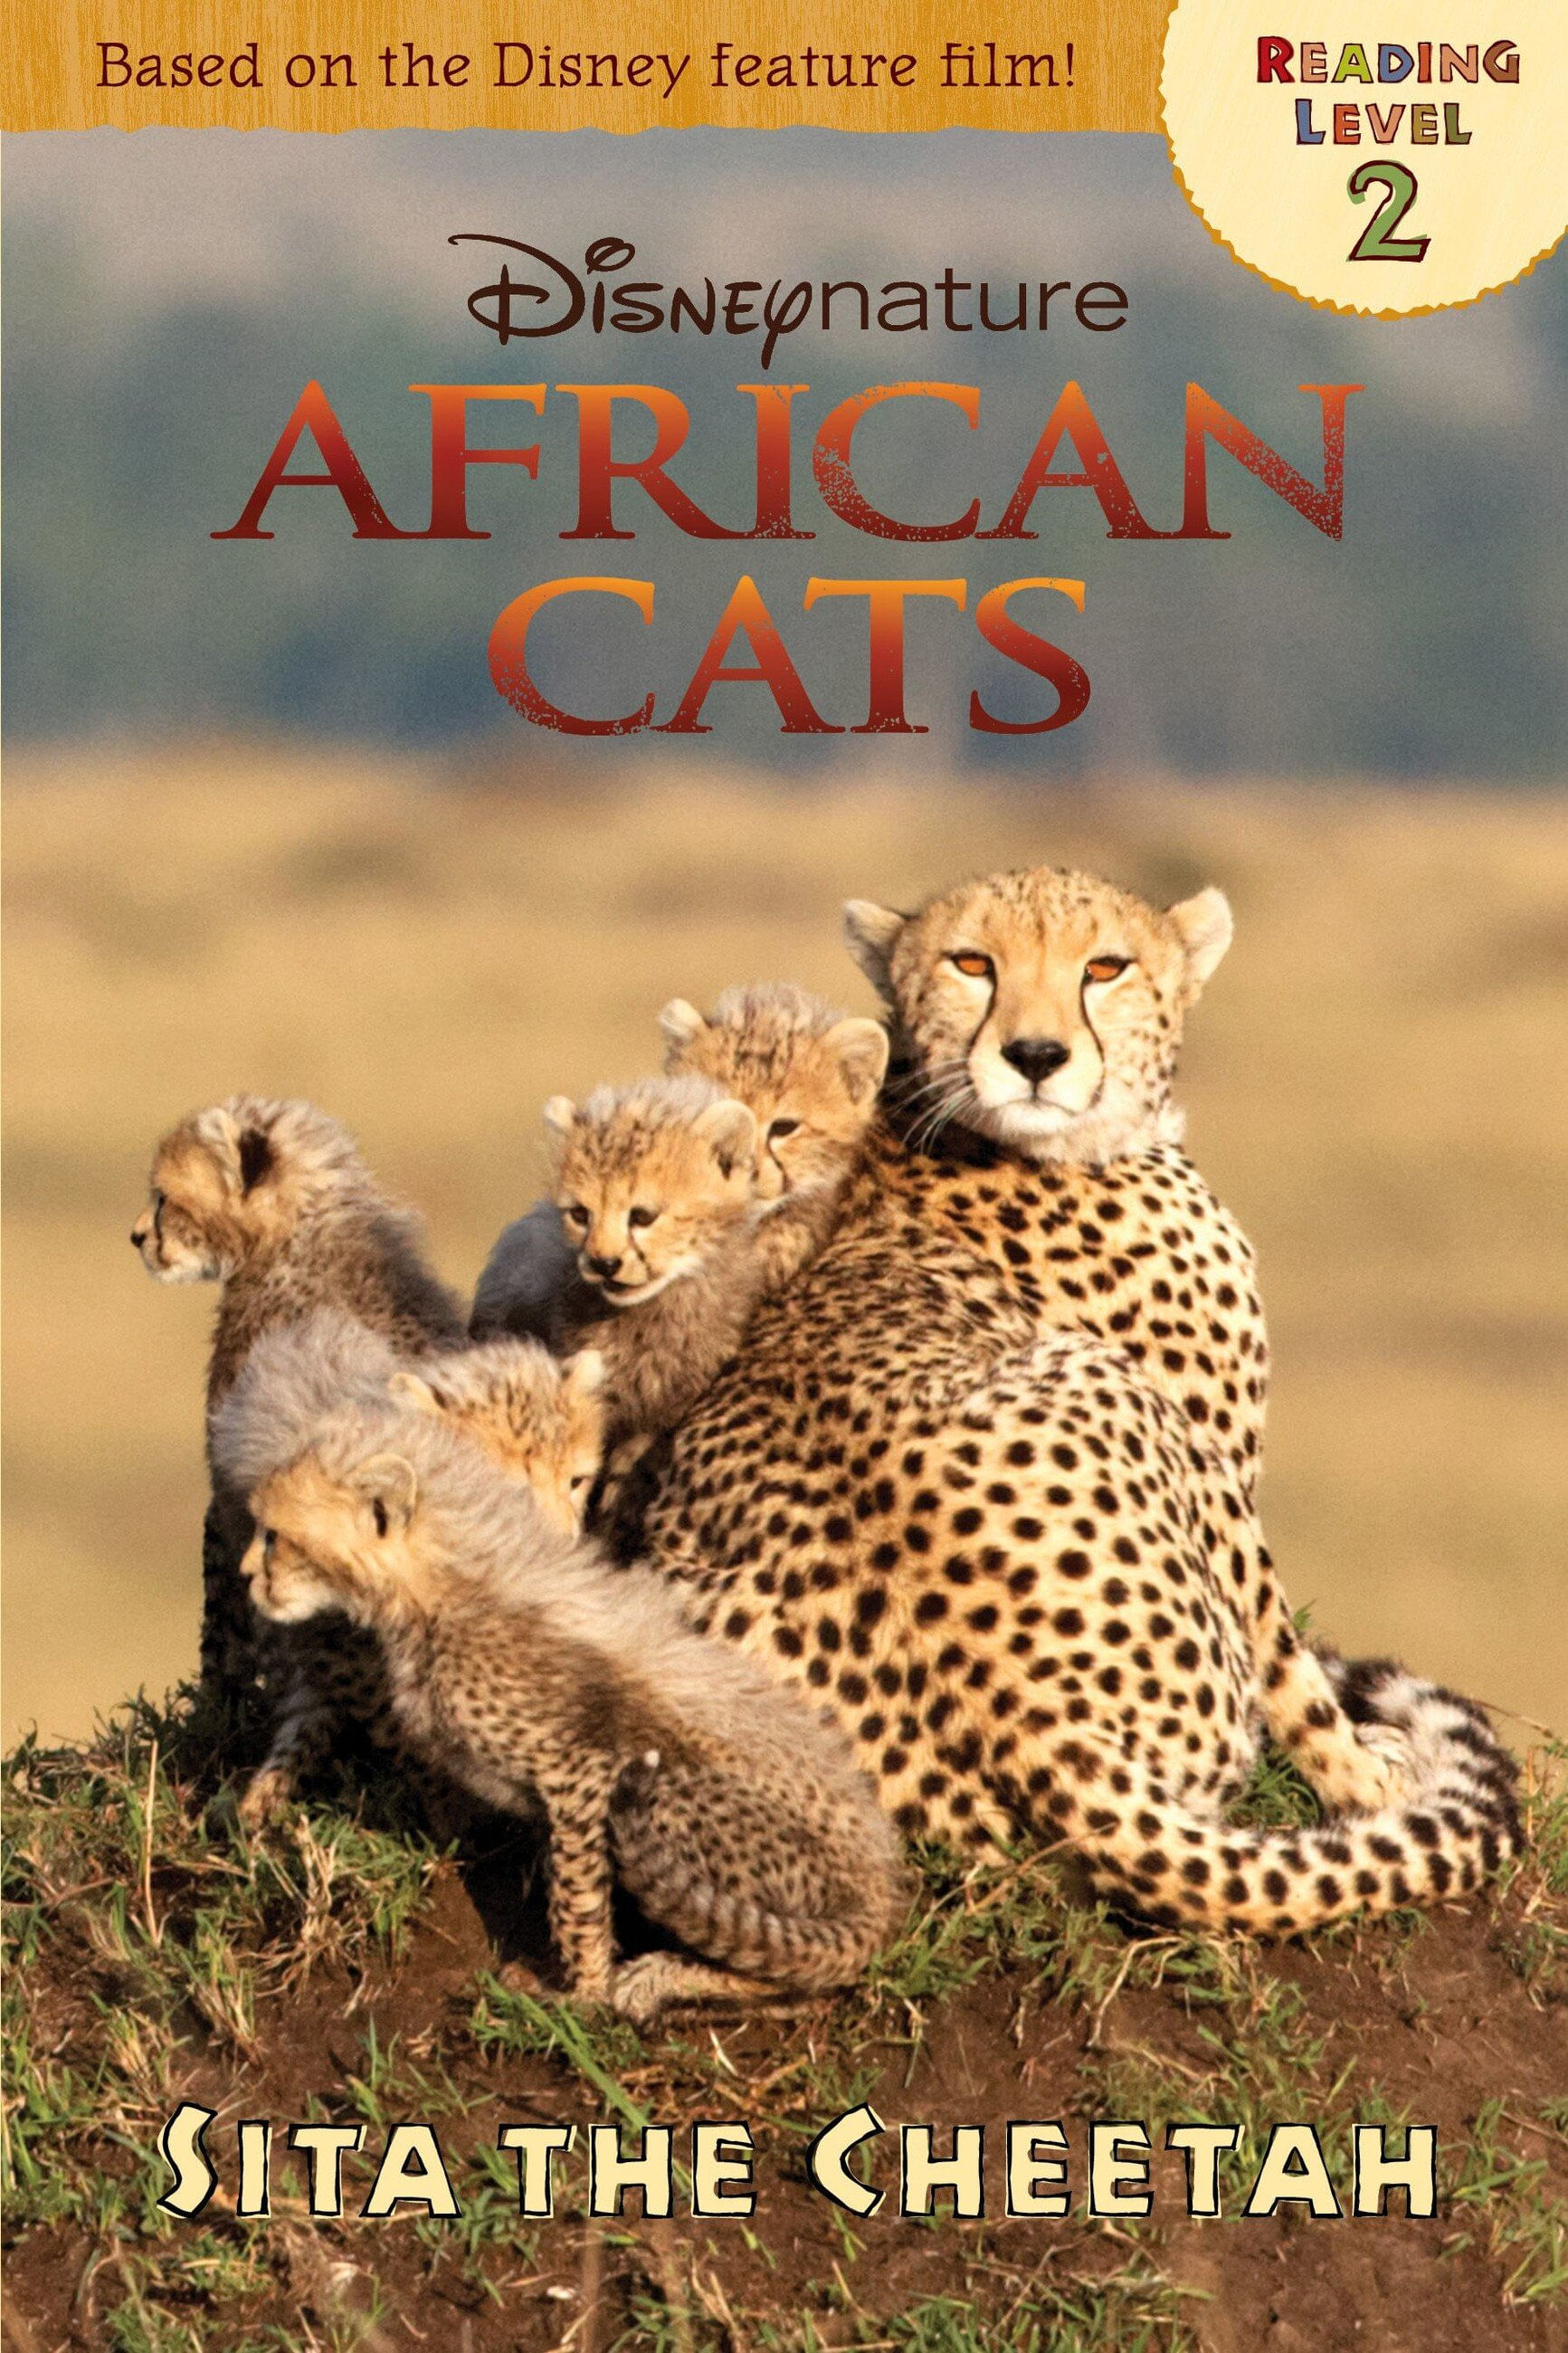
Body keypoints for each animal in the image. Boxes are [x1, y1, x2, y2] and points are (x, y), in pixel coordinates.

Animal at [215, 1322, 903, 2020]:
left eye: (276, 1537)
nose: (247, 1574)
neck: (442, 1586)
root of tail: (882, 1891)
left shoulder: (583, 1773)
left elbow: (575, 1898)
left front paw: (580, 1995)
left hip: (671, 1793)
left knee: (804, 1980)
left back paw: (658, 1978)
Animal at [621, 864, 1520, 1935]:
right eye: (972, 963)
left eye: (1104, 967)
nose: (1035, 1056)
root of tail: (1038, 1736)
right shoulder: (1215, 1463)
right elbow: (1286, 1663)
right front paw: (1369, 1780)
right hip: (1111, 1385)